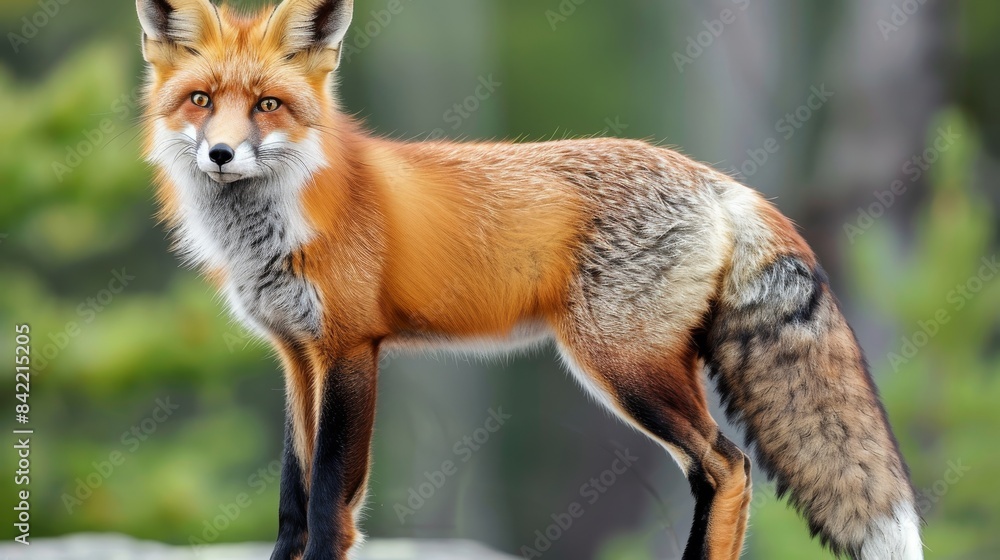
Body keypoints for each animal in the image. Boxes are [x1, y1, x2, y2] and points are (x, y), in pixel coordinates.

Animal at [136, 0, 923, 558]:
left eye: (267, 105)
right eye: (201, 100)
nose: (220, 154)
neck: (284, 222)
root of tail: (719, 179)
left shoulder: (351, 350)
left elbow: (330, 507)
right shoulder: (299, 357)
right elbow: (292, 506)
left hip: (620, 366)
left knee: (729, 466)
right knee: (709, 473)